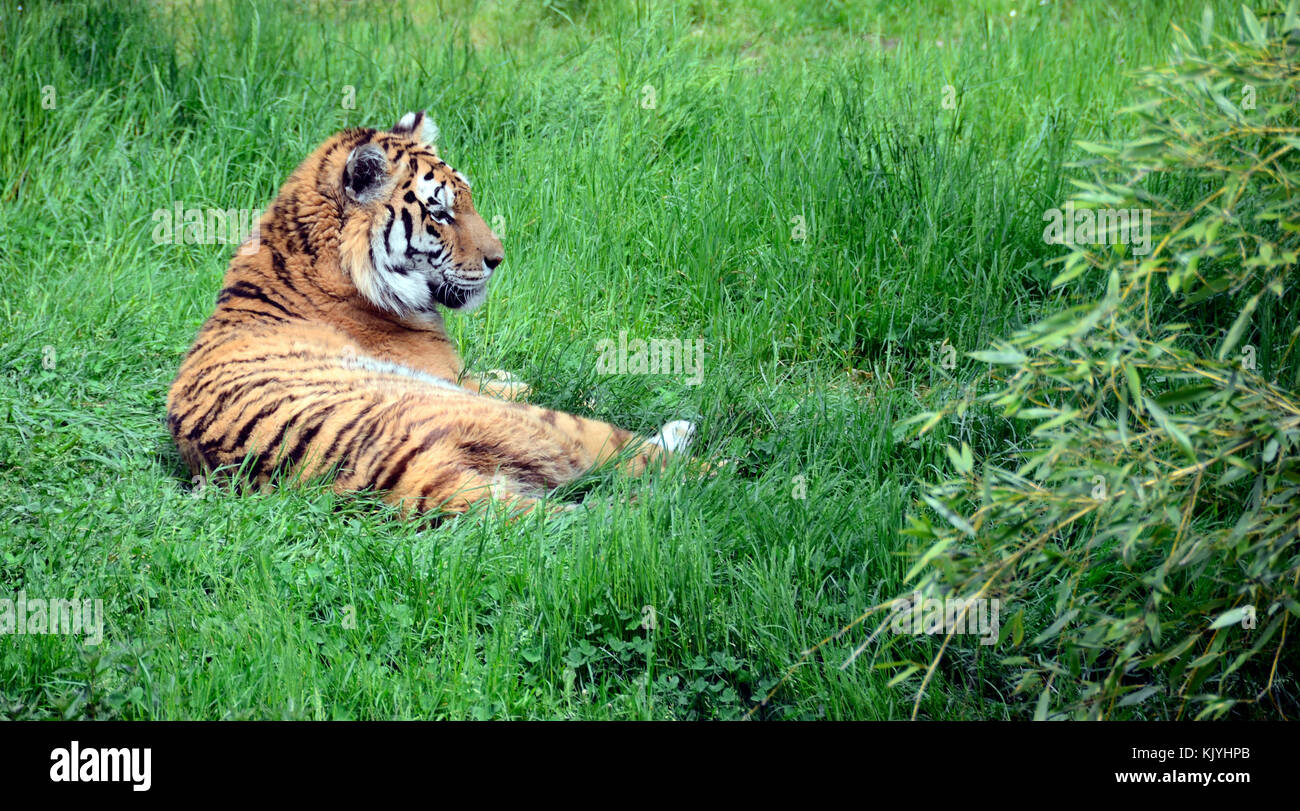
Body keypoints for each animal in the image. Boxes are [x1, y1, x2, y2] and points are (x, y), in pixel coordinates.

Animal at [166, 111, 696, 519]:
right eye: (440, 213)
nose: (498, 259)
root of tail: (409, 480)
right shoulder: (456, 378)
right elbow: (539, 386)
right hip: (523, 422)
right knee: (647, 458)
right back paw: (693, 442)